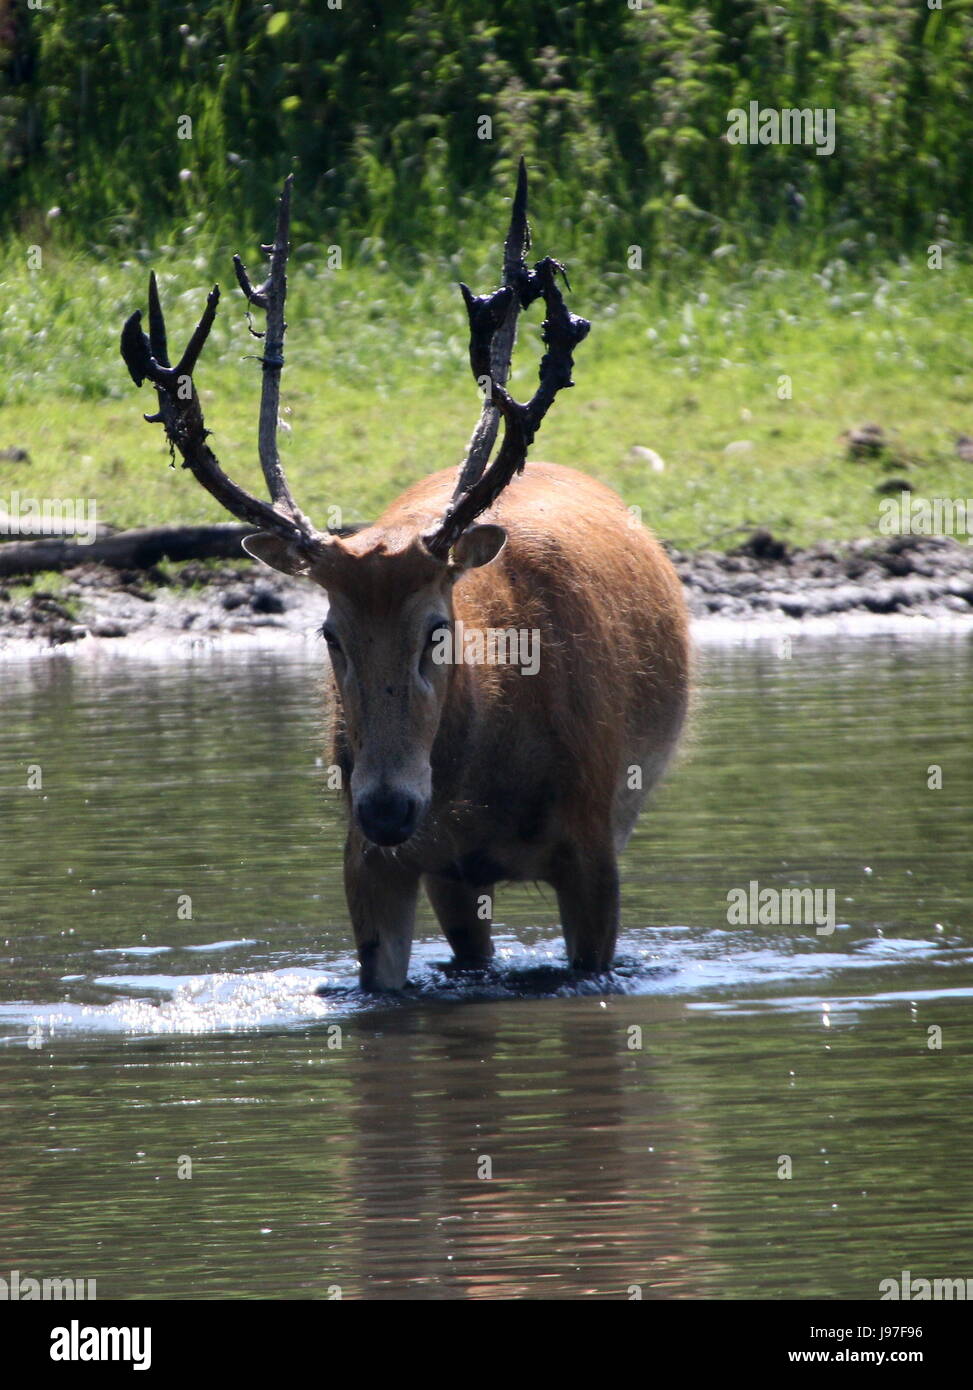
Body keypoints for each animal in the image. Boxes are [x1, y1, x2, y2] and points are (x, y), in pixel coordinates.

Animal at [120, 164, 690, 992]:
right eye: (329, 634)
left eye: (436, 630)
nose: (387, 807)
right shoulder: (372, 862)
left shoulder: (591, 844)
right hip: (451, 877)